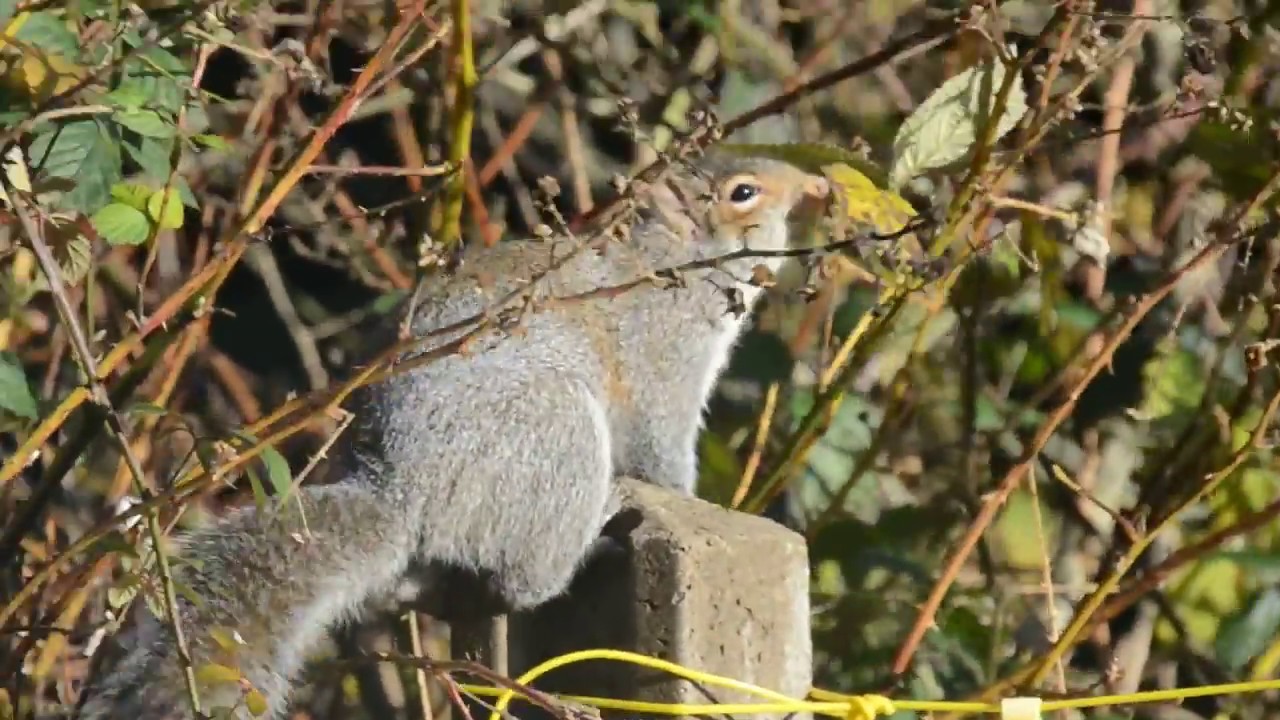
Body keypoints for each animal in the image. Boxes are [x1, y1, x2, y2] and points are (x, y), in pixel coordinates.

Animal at [75, 150, 831, 720]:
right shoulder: (659, 365)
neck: (672, 263)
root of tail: (405, 490)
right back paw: (595, 527)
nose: (815, 185)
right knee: (528, 581)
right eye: (743, 192)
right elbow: (662, 452)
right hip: (552, 429)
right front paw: (690, 498)